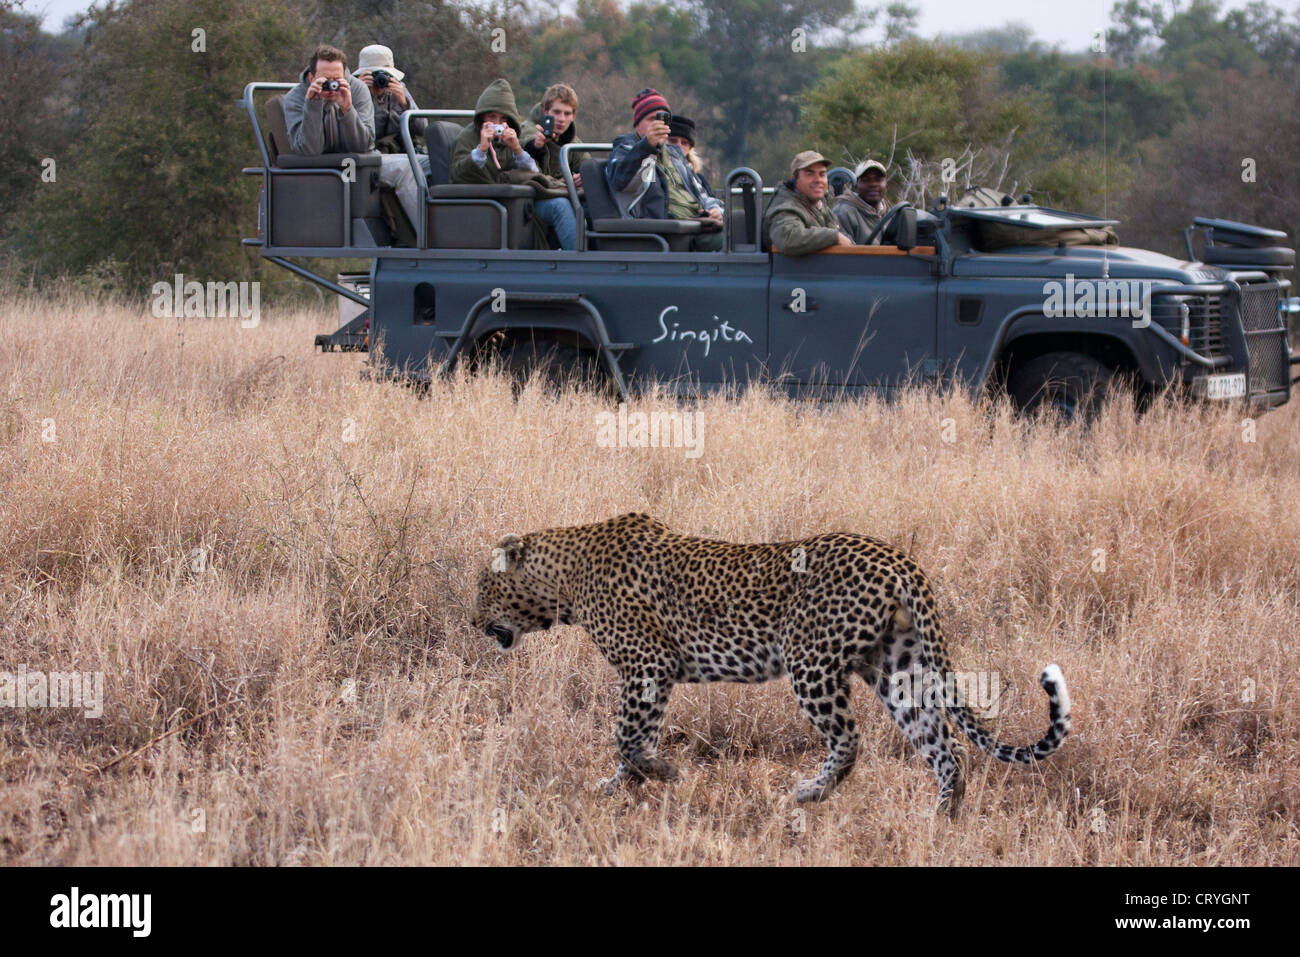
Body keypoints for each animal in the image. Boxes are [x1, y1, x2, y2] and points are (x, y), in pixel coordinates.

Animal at [470, 512, 1071, 814]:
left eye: (482, 586)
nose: (473, 621)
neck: (562, 581)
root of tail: (898, 558)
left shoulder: (647, 666)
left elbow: (627, 737)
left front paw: (661, 773)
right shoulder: (653, 677)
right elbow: (635, 739)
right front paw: (622, 786)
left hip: (811, 663)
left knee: (850, 740)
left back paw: (807, 794)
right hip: (897, 668)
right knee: (946, 751)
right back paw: (939, 823)